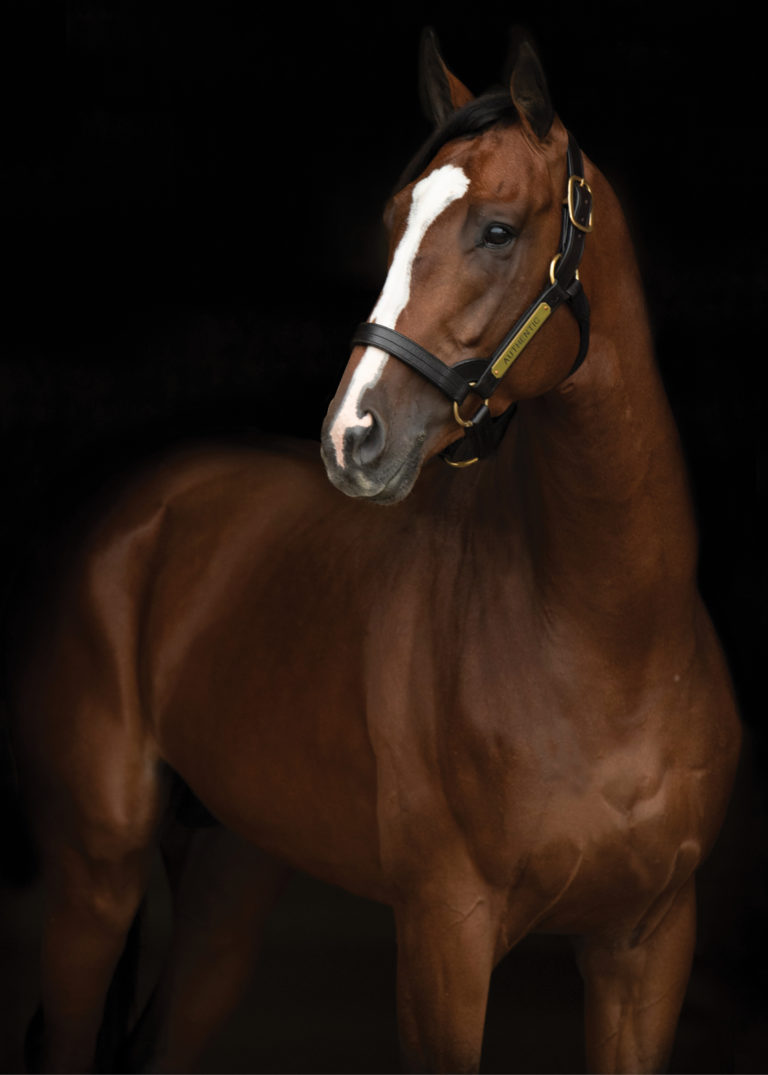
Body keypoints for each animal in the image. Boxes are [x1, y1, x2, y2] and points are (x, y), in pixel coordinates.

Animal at [10, 28, 741, 1074]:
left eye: (498, 231)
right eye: (396, 219)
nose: (351, 436)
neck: (609, 642)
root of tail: (130, 514)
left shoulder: (648, 945)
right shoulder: (444, 940)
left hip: (232, 876)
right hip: (93, 880)